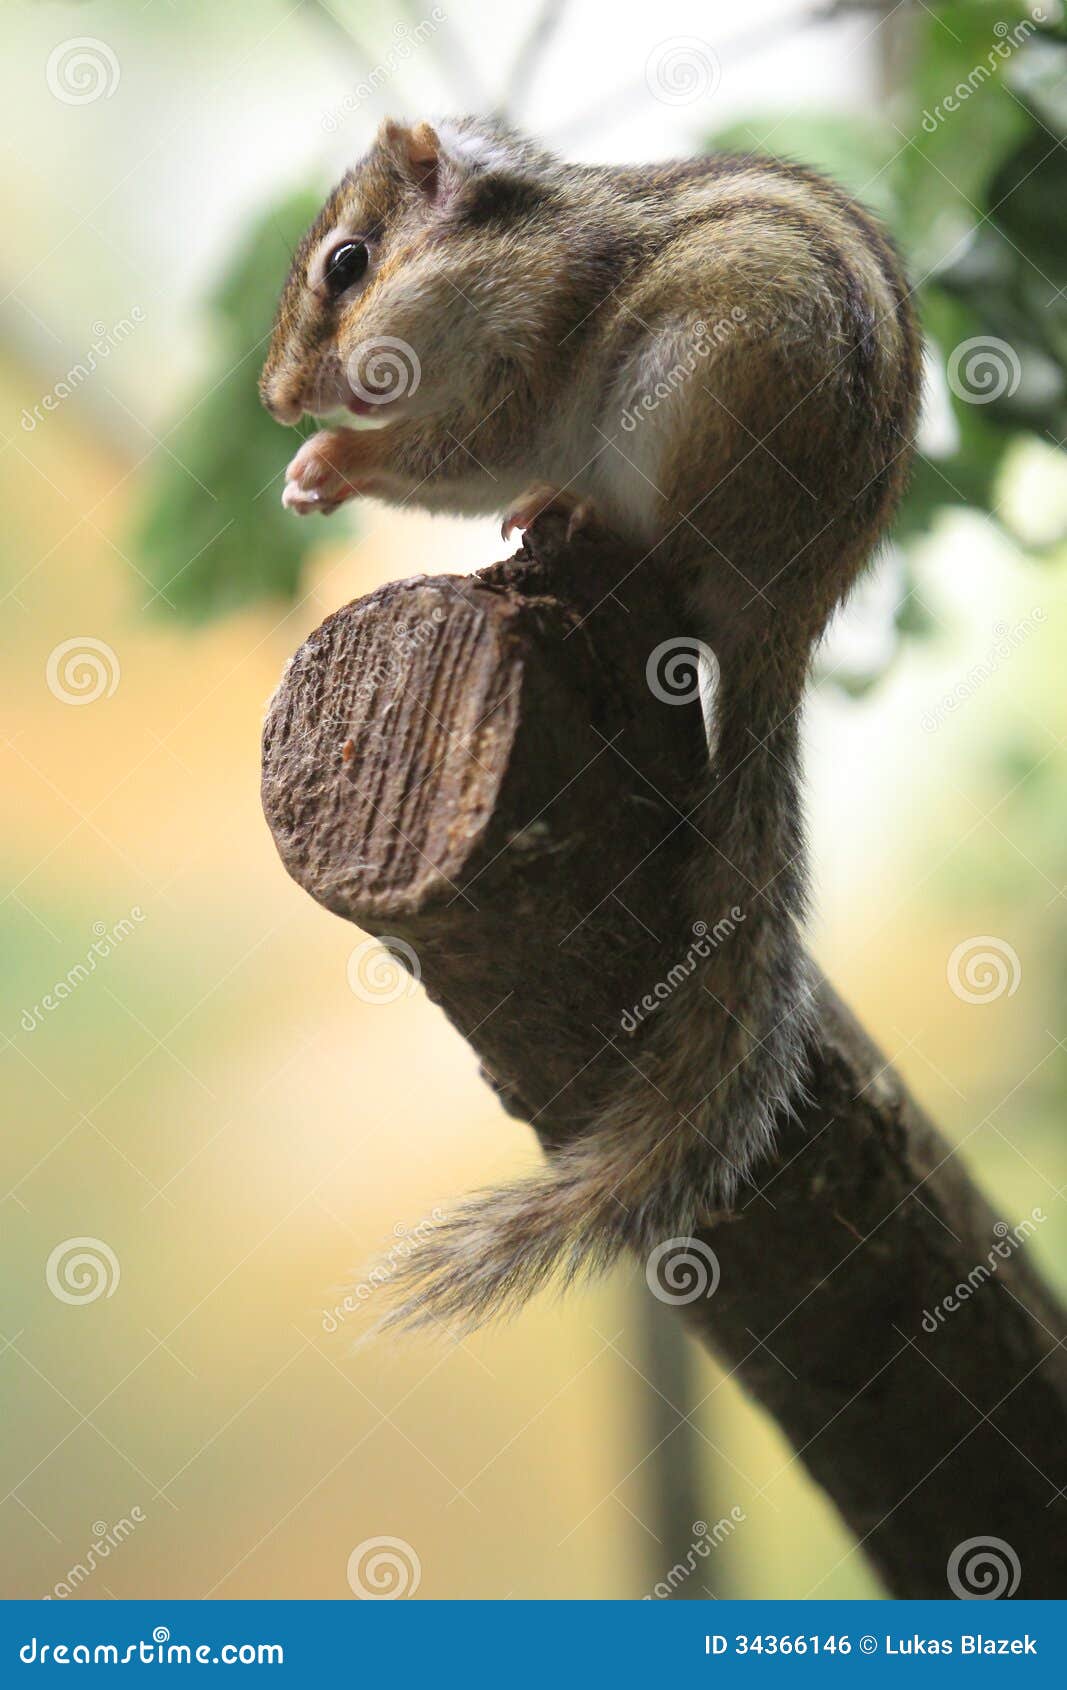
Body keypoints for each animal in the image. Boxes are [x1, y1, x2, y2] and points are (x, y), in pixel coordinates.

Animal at [260, 116, 921, 1332]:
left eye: (347, 265)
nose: (280, 400)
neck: (509, 244)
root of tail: (789, 611)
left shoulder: (527, 338)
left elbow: (466, 455)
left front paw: (331, 463)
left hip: (687, 394)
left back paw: (578, 510)